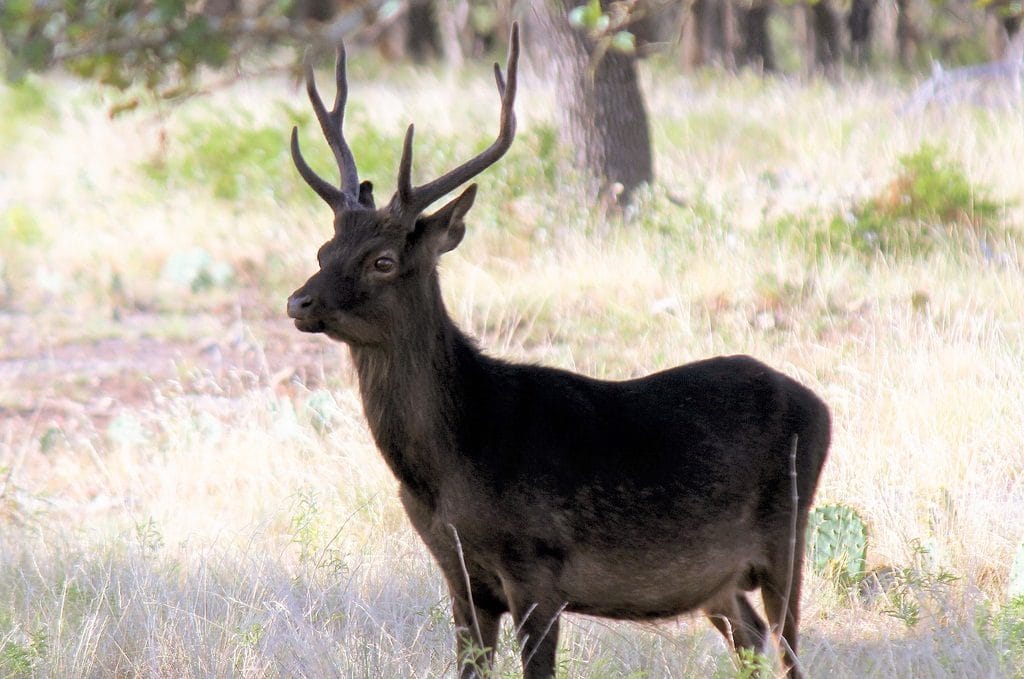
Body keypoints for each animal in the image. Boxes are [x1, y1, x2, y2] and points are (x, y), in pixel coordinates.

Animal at [285, 24, 830, 679]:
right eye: (323, 250)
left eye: (382, 261)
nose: (298, 302)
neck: (448, 470)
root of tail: (820, 405)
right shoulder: (458, 575)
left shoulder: (536, 566)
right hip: (718, 580)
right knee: (751, 640)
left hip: (787, 531)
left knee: (788, 648)